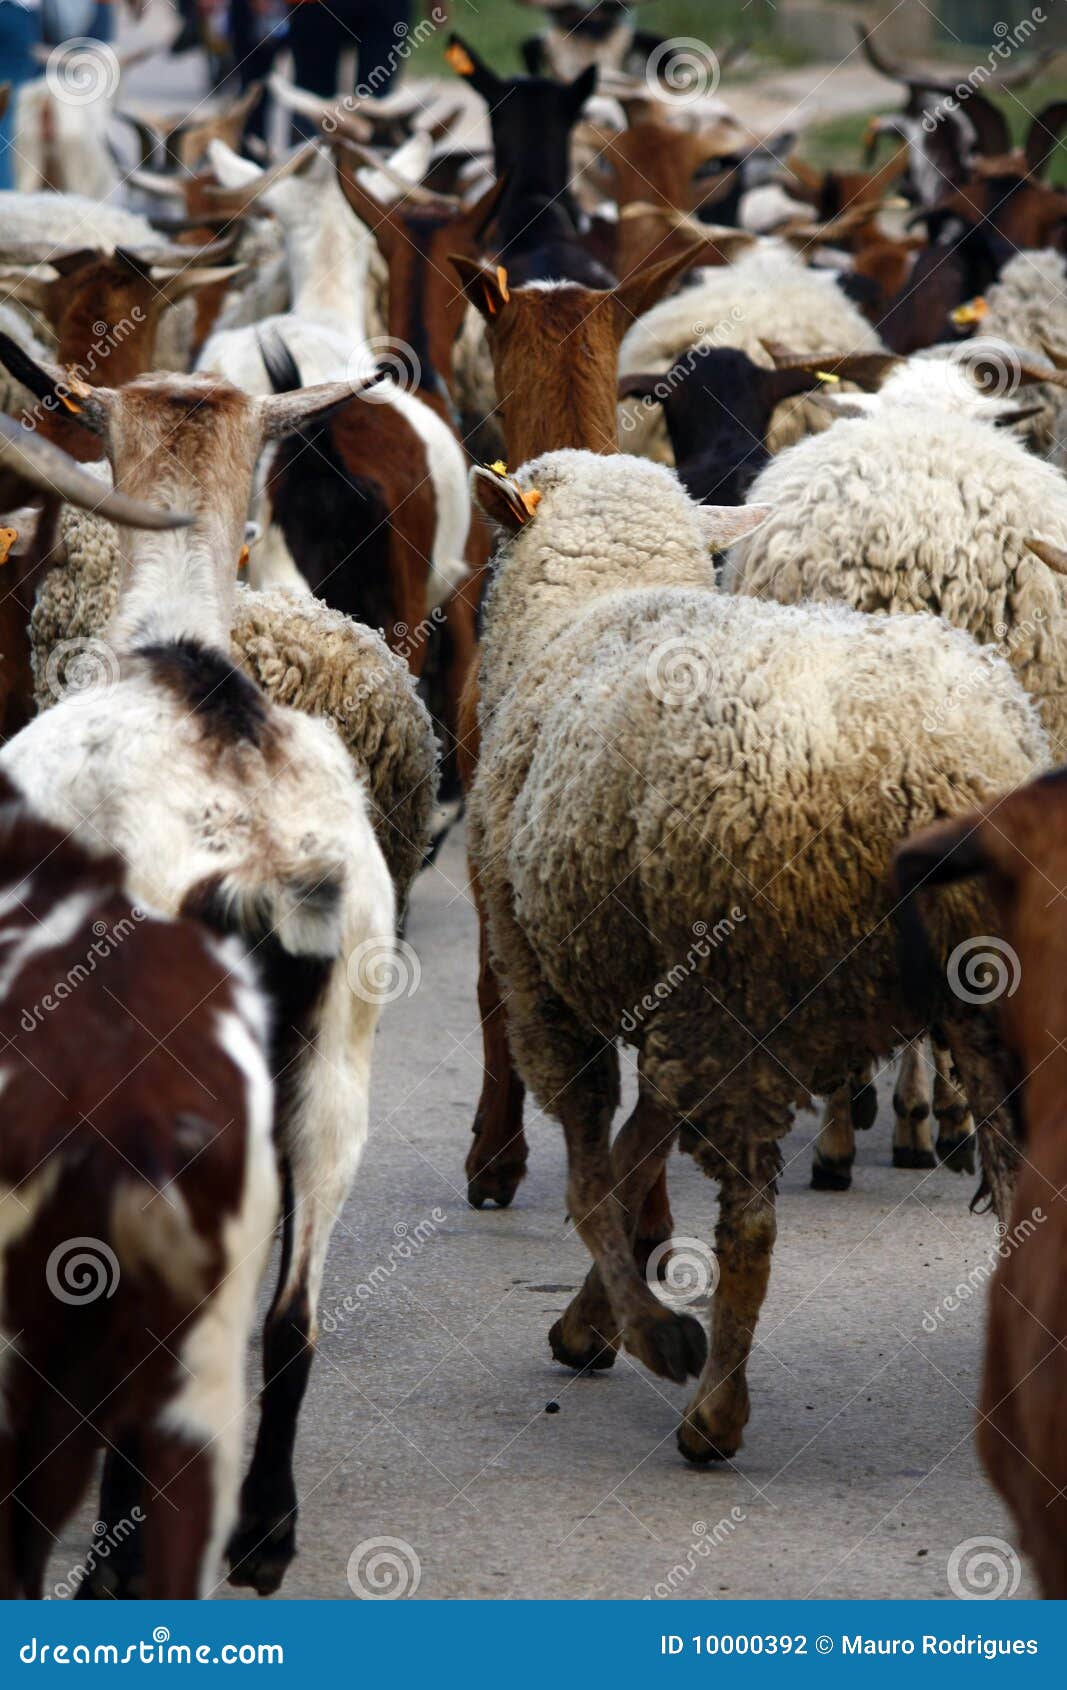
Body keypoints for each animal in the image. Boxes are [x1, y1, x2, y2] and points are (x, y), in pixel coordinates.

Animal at [467, 447, 1042, 1464]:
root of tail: (921, 758)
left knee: (751, 1228)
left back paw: (712, 1412)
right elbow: (636, 1154)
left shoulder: (540, 981)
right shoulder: (666, 993)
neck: (590, 605)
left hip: (739, 992)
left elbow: (590, 1177)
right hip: (974, 1002)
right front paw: (590, 1323)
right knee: (1015, 1190)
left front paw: (642, 1331)